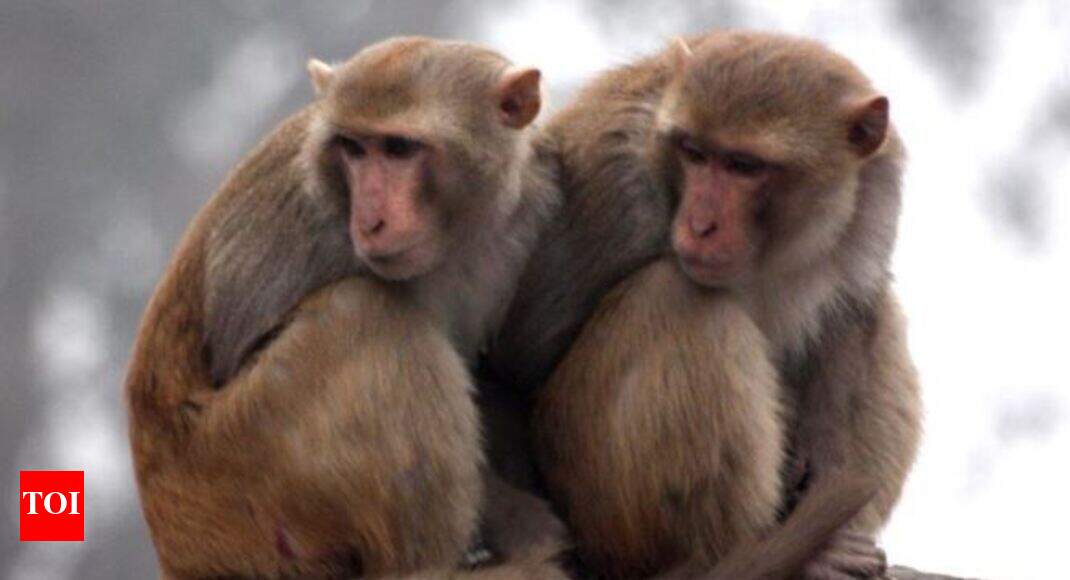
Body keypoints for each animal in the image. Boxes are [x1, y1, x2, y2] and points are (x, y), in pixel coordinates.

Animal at [124, 37, 568, 579]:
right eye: (354, 149)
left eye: (399, 149)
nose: (370, 221)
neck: (455, 239)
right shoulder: (305, 233)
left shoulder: (531, 212)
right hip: (233, 484)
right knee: (366, 315)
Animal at [486, 31, 922, 579]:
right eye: (695, 153)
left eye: (744, 166)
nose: (700, 226)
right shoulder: (610, 187)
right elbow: (507, 370)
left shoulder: (877, 190)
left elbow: (851, 315)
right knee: (679, 298)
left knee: (877, 312)